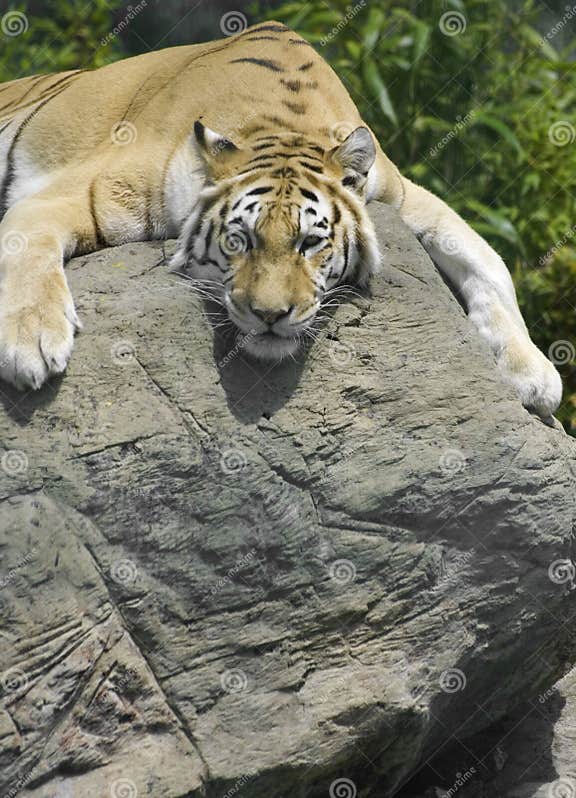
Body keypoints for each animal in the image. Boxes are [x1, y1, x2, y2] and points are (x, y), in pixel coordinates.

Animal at [0, 20, 562, 418]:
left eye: (310, 243)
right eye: (238, 241)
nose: (270, 315)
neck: (284, 125)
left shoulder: (400, 192)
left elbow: (488, 260)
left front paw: (533, 373)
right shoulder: (84, 188)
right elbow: (27, 242)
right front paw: (29, 342)